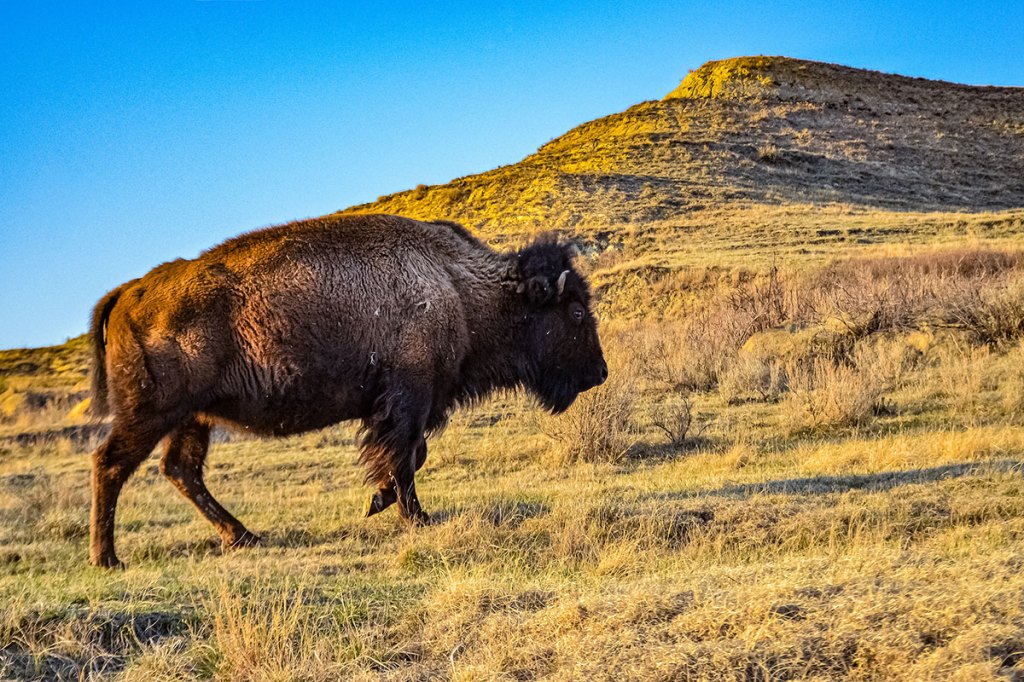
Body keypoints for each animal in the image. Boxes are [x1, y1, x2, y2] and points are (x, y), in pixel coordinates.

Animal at [87, 214, 607, 567]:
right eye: (576, 312)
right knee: (111, 463)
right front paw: (413, 517)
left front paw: (377, 501)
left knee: (181, 470)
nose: (600, 372)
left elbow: (411, 456)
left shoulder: (400, 406)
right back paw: (107, 558)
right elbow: (404, 458)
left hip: (193, 417)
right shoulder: (407, 398)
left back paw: (242, 537)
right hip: (153, 411)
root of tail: (128, 292)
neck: (458, 288)